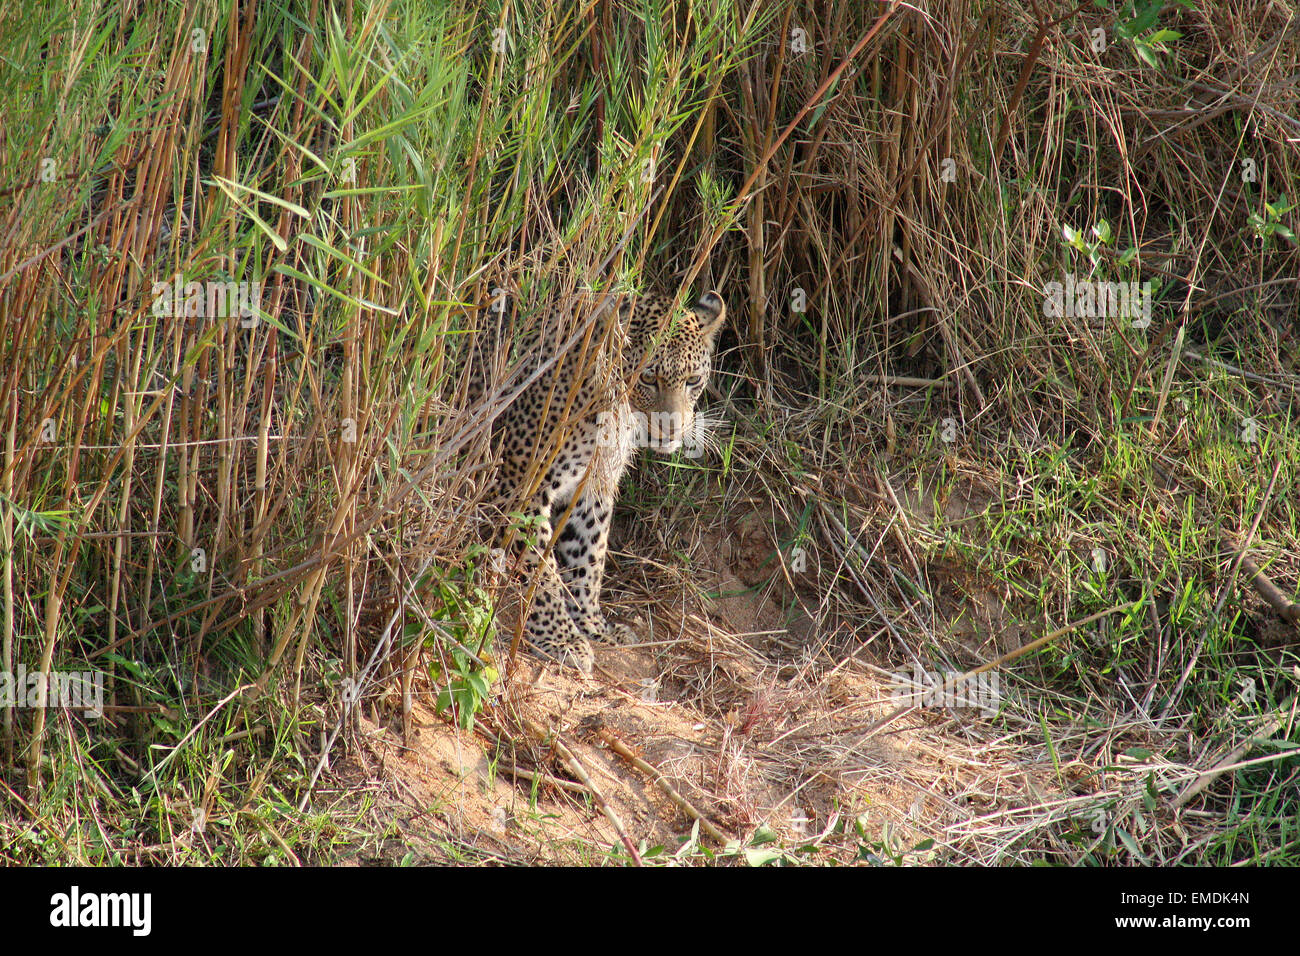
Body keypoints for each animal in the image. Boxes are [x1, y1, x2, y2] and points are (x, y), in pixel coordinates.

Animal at [477, 289, 726, 674]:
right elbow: (541, 572)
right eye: (648, 379)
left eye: (693, 381)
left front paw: (593, 625)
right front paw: (561, 638)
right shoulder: (520, 489)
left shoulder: (591, 488)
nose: (673, 429)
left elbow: (589, 554)